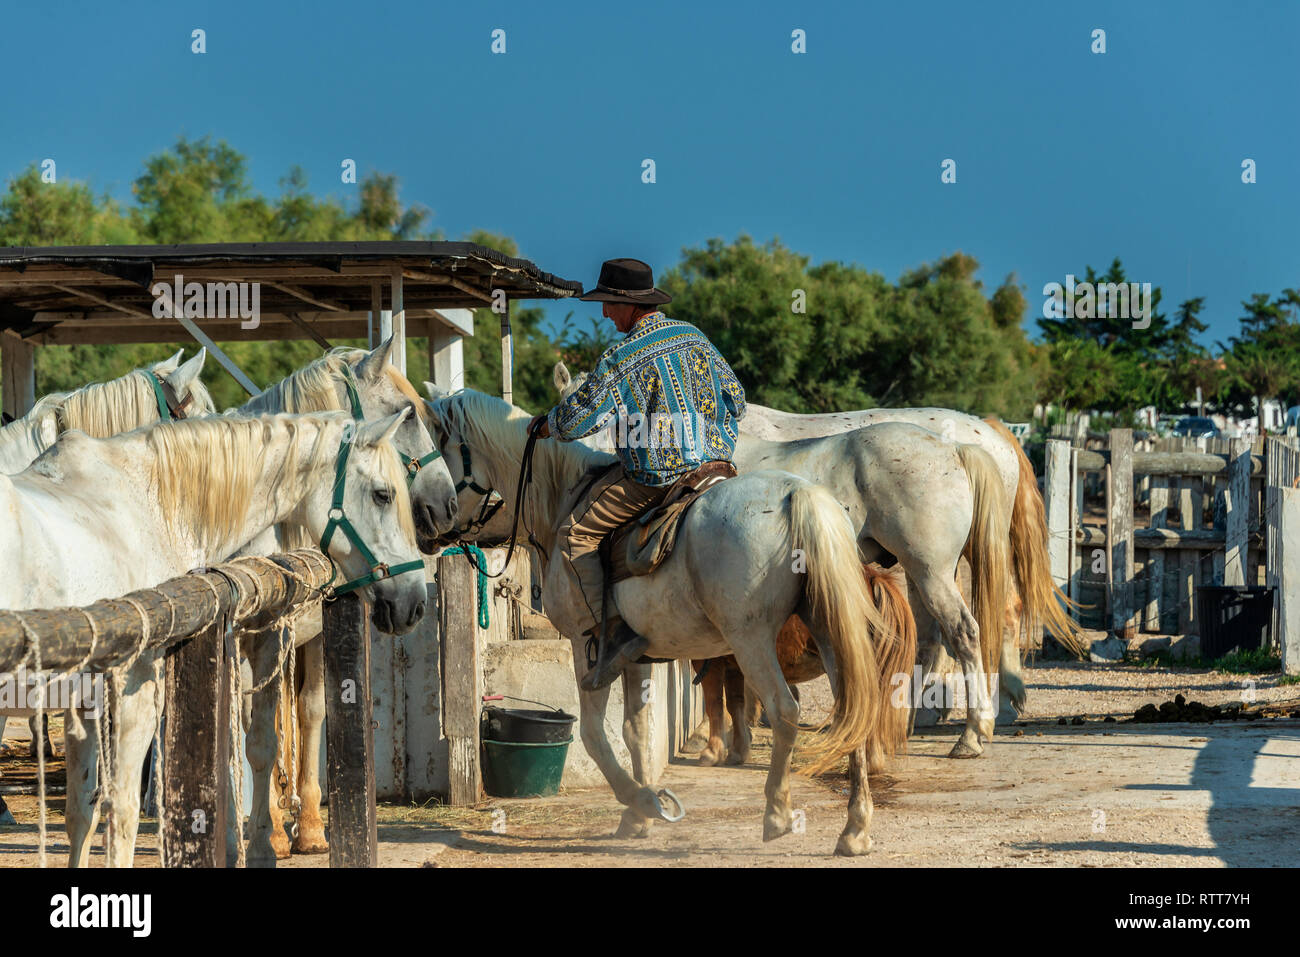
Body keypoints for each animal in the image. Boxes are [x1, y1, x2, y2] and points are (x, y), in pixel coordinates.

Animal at [0, 409, 427, 867]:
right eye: (383, 495)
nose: (415, 602)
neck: (146, 505)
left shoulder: (84, 703)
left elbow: (83, 811)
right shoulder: (134, 697)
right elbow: (123, 814)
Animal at [423, 387, 915, 855]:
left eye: (440, 448)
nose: (428, 525)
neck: (562, 497)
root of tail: (800, 495)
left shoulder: (588, 647)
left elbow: (594, 735)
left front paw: (642, 802)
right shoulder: (636, 653)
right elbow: (636, 731)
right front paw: (639, 817)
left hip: (751, 640)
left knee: (785, 711)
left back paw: (777, 813)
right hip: (829, 630)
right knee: (855, 712)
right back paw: (855, 830)